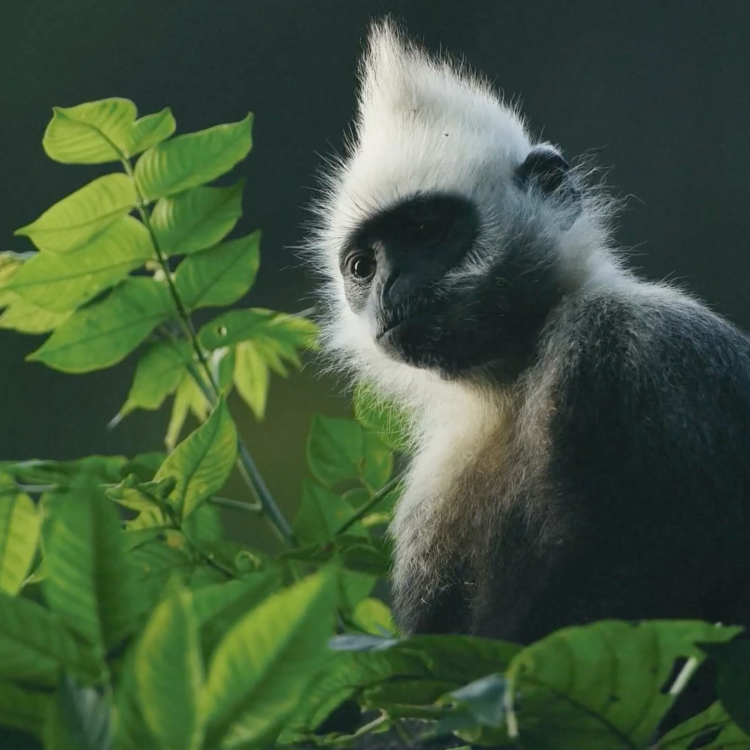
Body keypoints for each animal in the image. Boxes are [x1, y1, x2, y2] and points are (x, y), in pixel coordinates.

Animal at [307, 19, 750, 657]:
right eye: (362, 266)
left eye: (426, 230)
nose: (388, 286)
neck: (508, 378)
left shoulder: (641, 342)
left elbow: (678, 553)